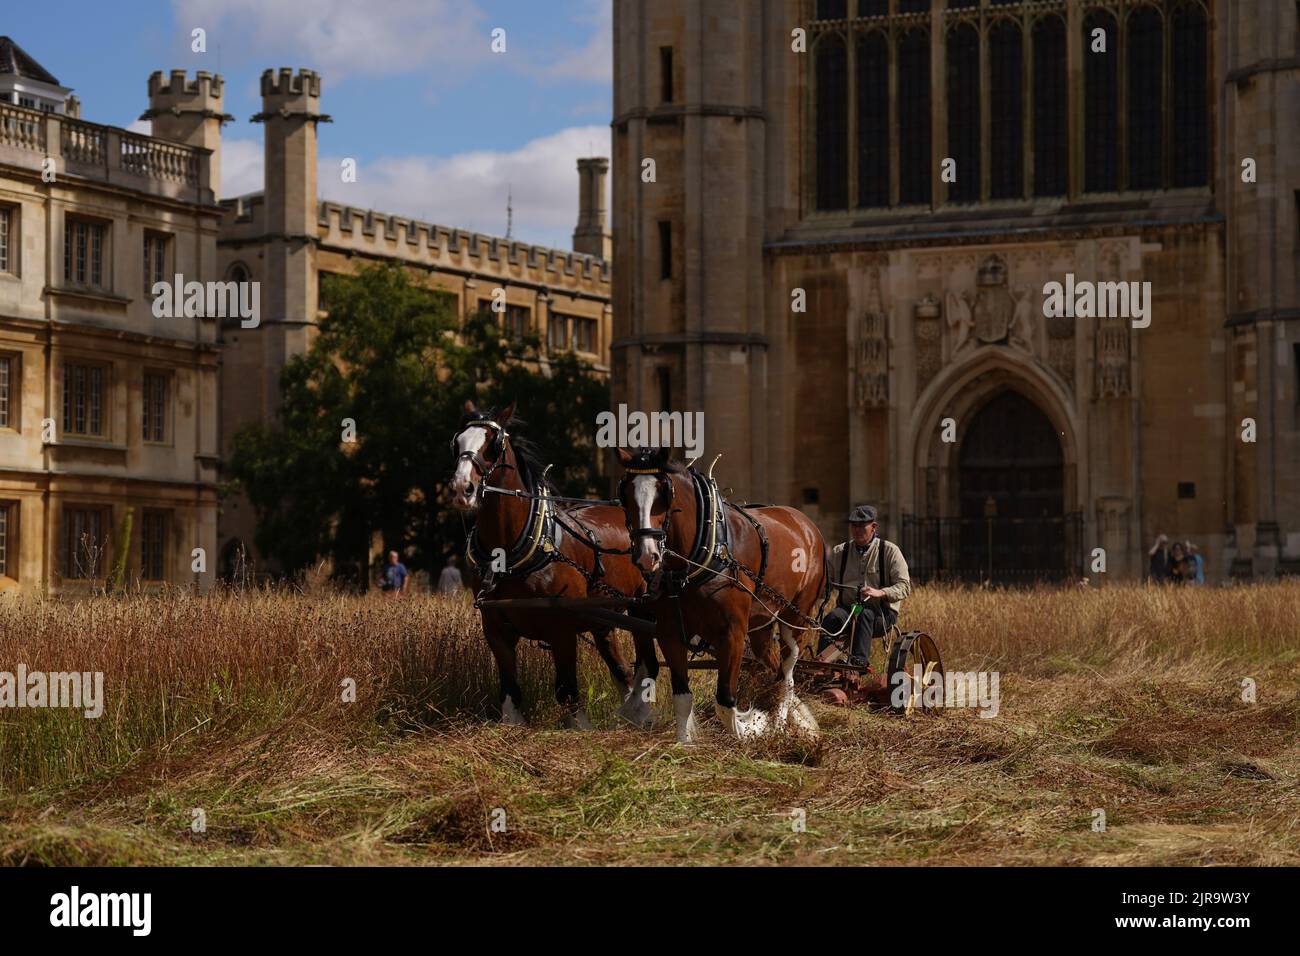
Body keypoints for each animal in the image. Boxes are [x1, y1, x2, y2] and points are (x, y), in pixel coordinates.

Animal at [449, 401, 659, 730]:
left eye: (493, 445)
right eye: (457, 443)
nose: (462, 489)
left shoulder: (562, 627)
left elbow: (566, 687)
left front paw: (581, 726)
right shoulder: (494, 627)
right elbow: (509, 688)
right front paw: (513, 724)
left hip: (642, 607)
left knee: (646, 661)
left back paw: (642, 712)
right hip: (603, 616)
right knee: (620, 665)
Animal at [615, 446, 828, 743]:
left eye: (663, 493)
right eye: (624, 493)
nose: (647, 555)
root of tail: (806, 524)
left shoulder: (732, 633)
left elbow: (726, 702)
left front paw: (752, 726)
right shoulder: (670, 632)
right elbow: (682, 695)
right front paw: (684, 743)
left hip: (795, 618)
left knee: (786, 674)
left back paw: (780, 722)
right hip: (761, 626)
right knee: (773, 668)